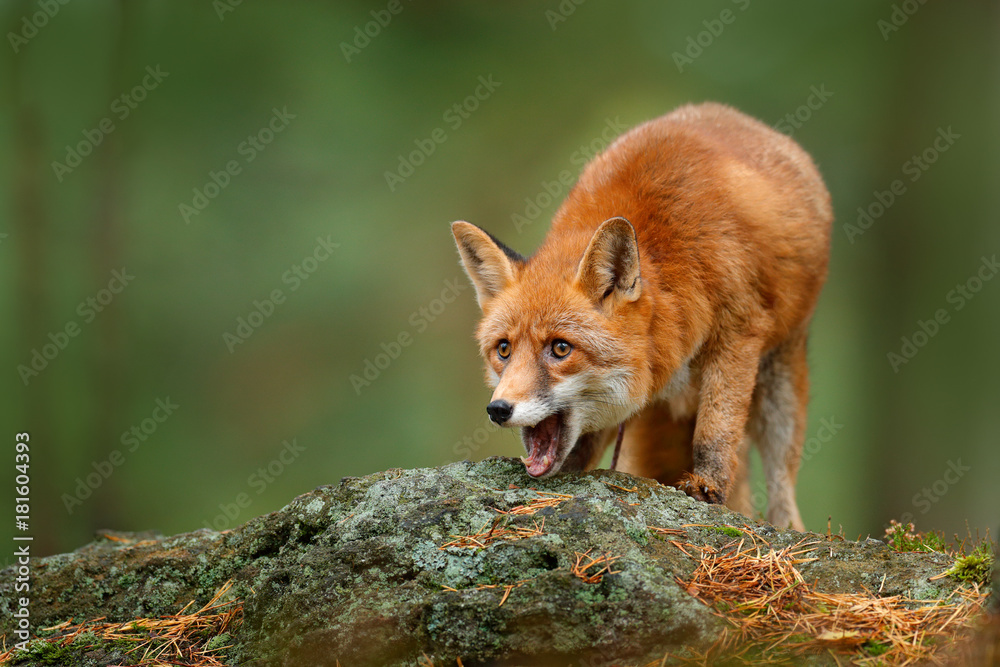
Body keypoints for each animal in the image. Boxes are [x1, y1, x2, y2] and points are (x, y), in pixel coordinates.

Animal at [451, 102, 832, 531]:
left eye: (561, 348)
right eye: (503, 349)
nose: (499, 409)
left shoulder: (739, 332)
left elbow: (716, 432)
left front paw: (706, 487)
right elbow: (582, 451)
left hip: (781, 382)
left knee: (781, 484)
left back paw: (785, 526)